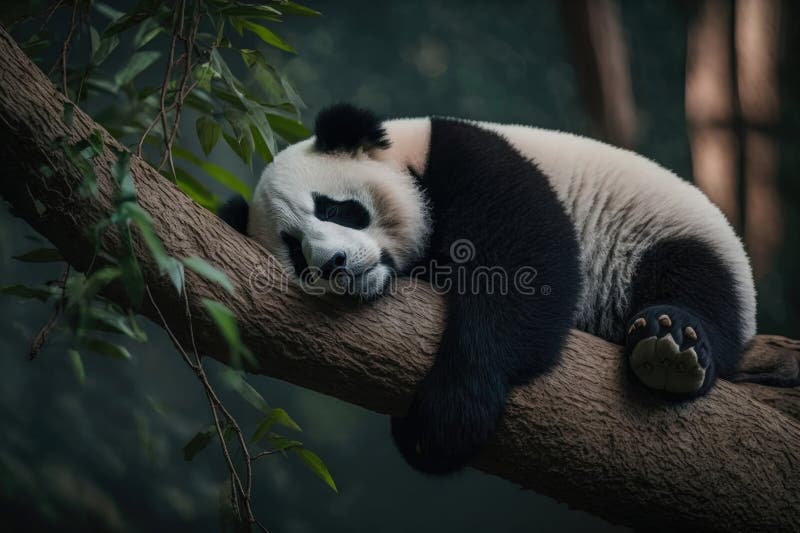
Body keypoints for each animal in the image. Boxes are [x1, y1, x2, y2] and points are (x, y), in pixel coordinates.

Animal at [219, 103, 756, 475]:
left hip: (663, 234)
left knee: (694, 283)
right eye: (294, 250)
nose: (332, 265)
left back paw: (671, 346)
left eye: (334, 208)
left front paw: (450, 415)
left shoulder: (475, 162)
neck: (409, 157)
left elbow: (524, 268)